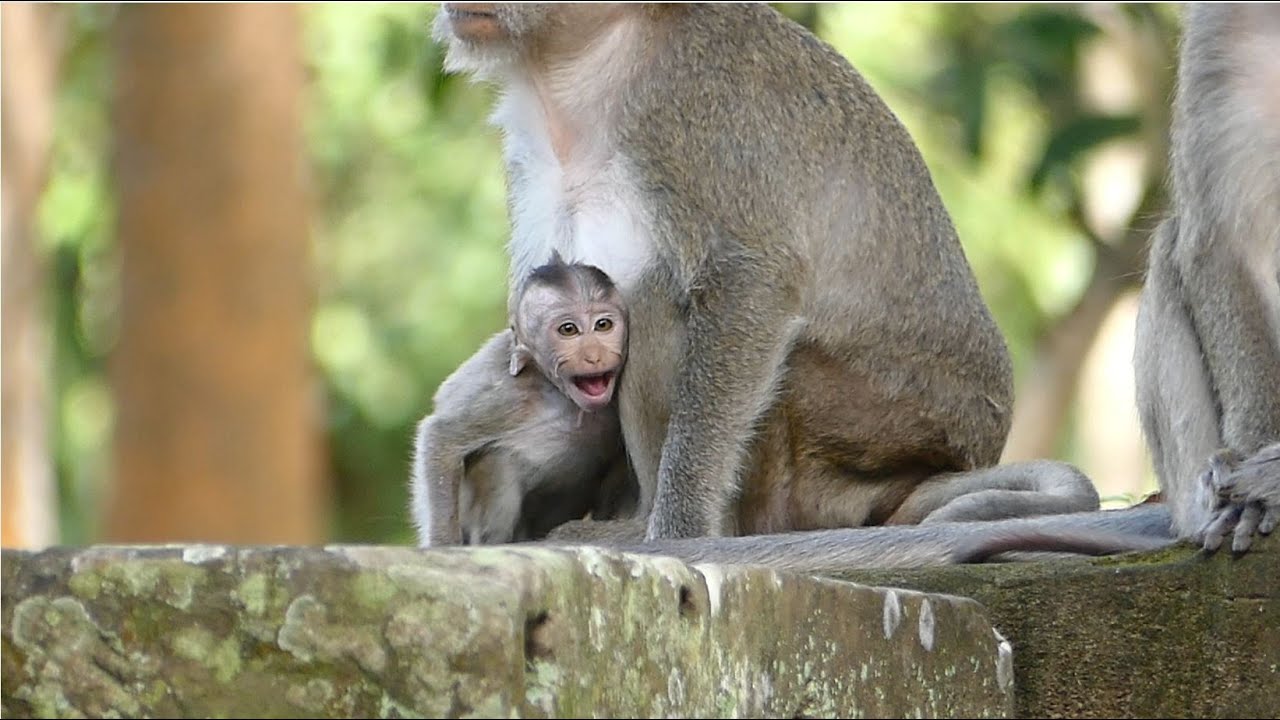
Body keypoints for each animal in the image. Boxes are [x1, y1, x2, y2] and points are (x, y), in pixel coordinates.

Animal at [409, 256, 636, 546]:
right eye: (568, 330)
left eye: (603, 325)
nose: (594, 355)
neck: (564, 398)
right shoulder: (513, 398)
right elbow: (441, 438)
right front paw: (442, 543)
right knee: (497, 462)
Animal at [432, 2, 1104, 546]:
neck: (589, 65)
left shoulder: (692, 106)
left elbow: (752, 279)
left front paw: (677, 529)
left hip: (858, 430)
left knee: (652, 295)